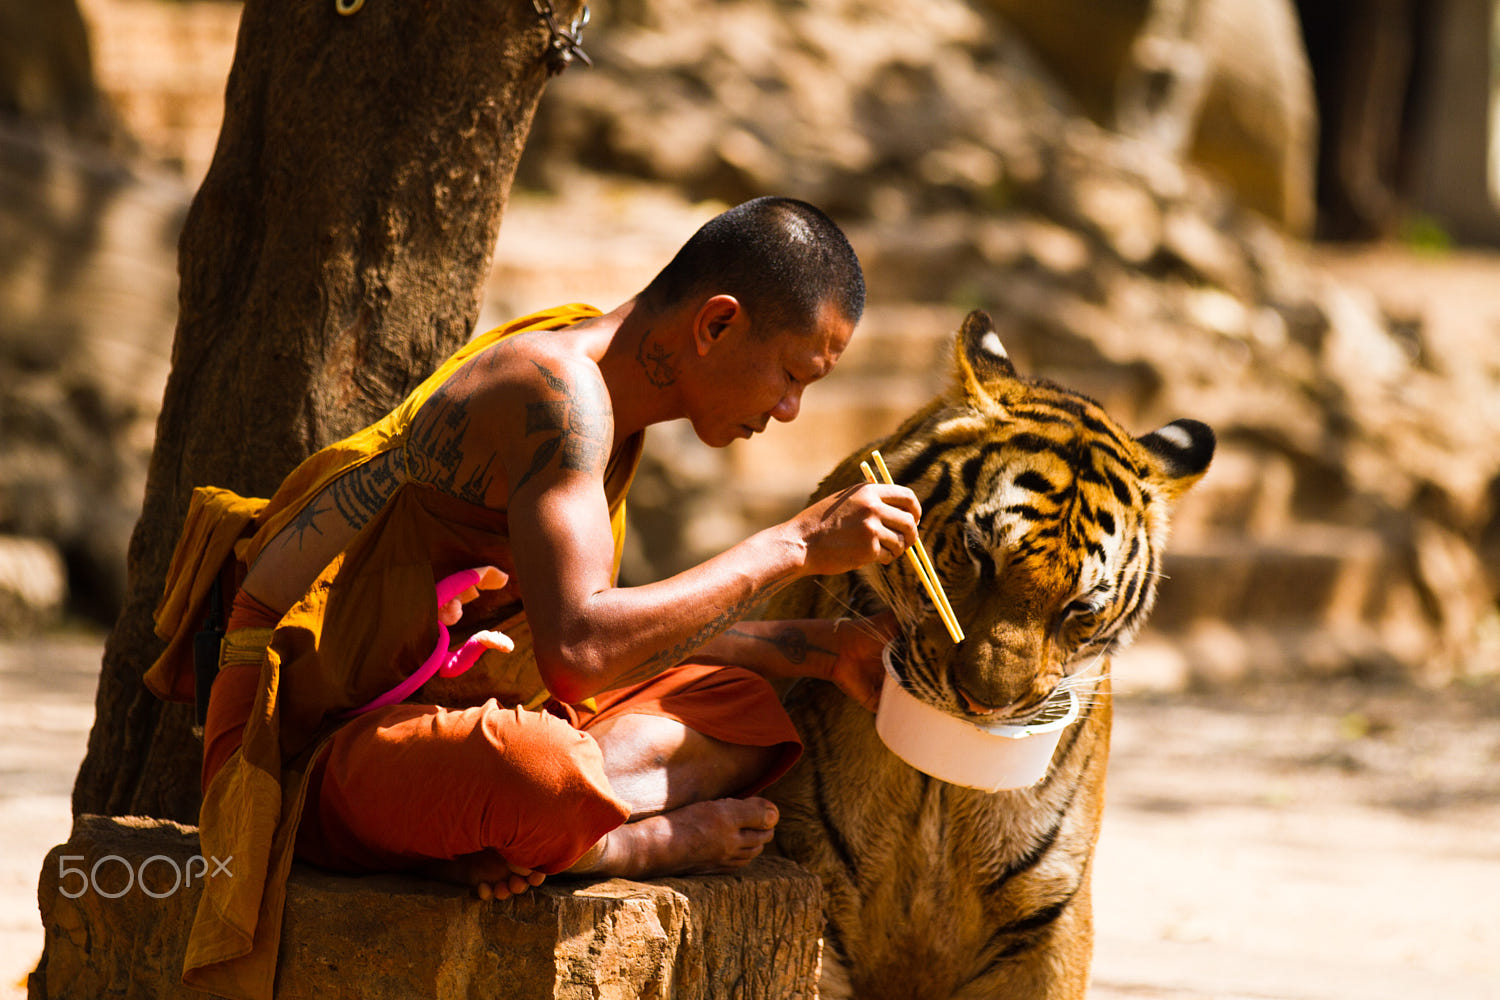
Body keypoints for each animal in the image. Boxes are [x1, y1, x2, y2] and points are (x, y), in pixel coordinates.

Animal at [763, 308, 1214, 999]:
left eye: (1080, 608)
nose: (983, 704)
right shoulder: (816, 885)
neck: (939, 787)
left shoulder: (1048, 918)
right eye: (979, 555)